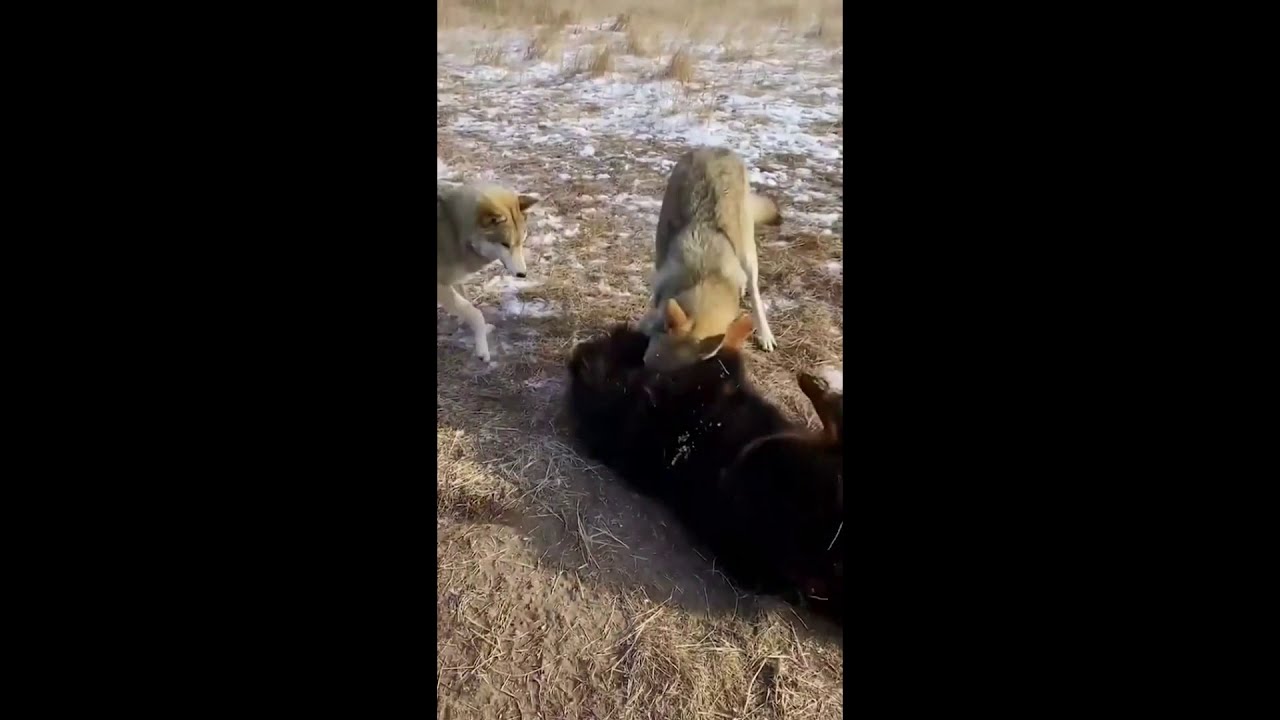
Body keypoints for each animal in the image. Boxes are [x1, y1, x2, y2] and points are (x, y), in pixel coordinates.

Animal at [436, 183, 538, 363]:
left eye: (521, 241)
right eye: (505, 244)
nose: (522, 274)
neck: (455, 230)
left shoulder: (454, 279)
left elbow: (466, 305)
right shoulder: (440, 285)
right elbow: (475, 313)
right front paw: (482, 349)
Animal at [642, 147, 782, 371]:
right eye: (645, 363)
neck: (704, 277)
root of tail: (714, 148)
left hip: (748, 253)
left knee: (755, 291)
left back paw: (765, 334)